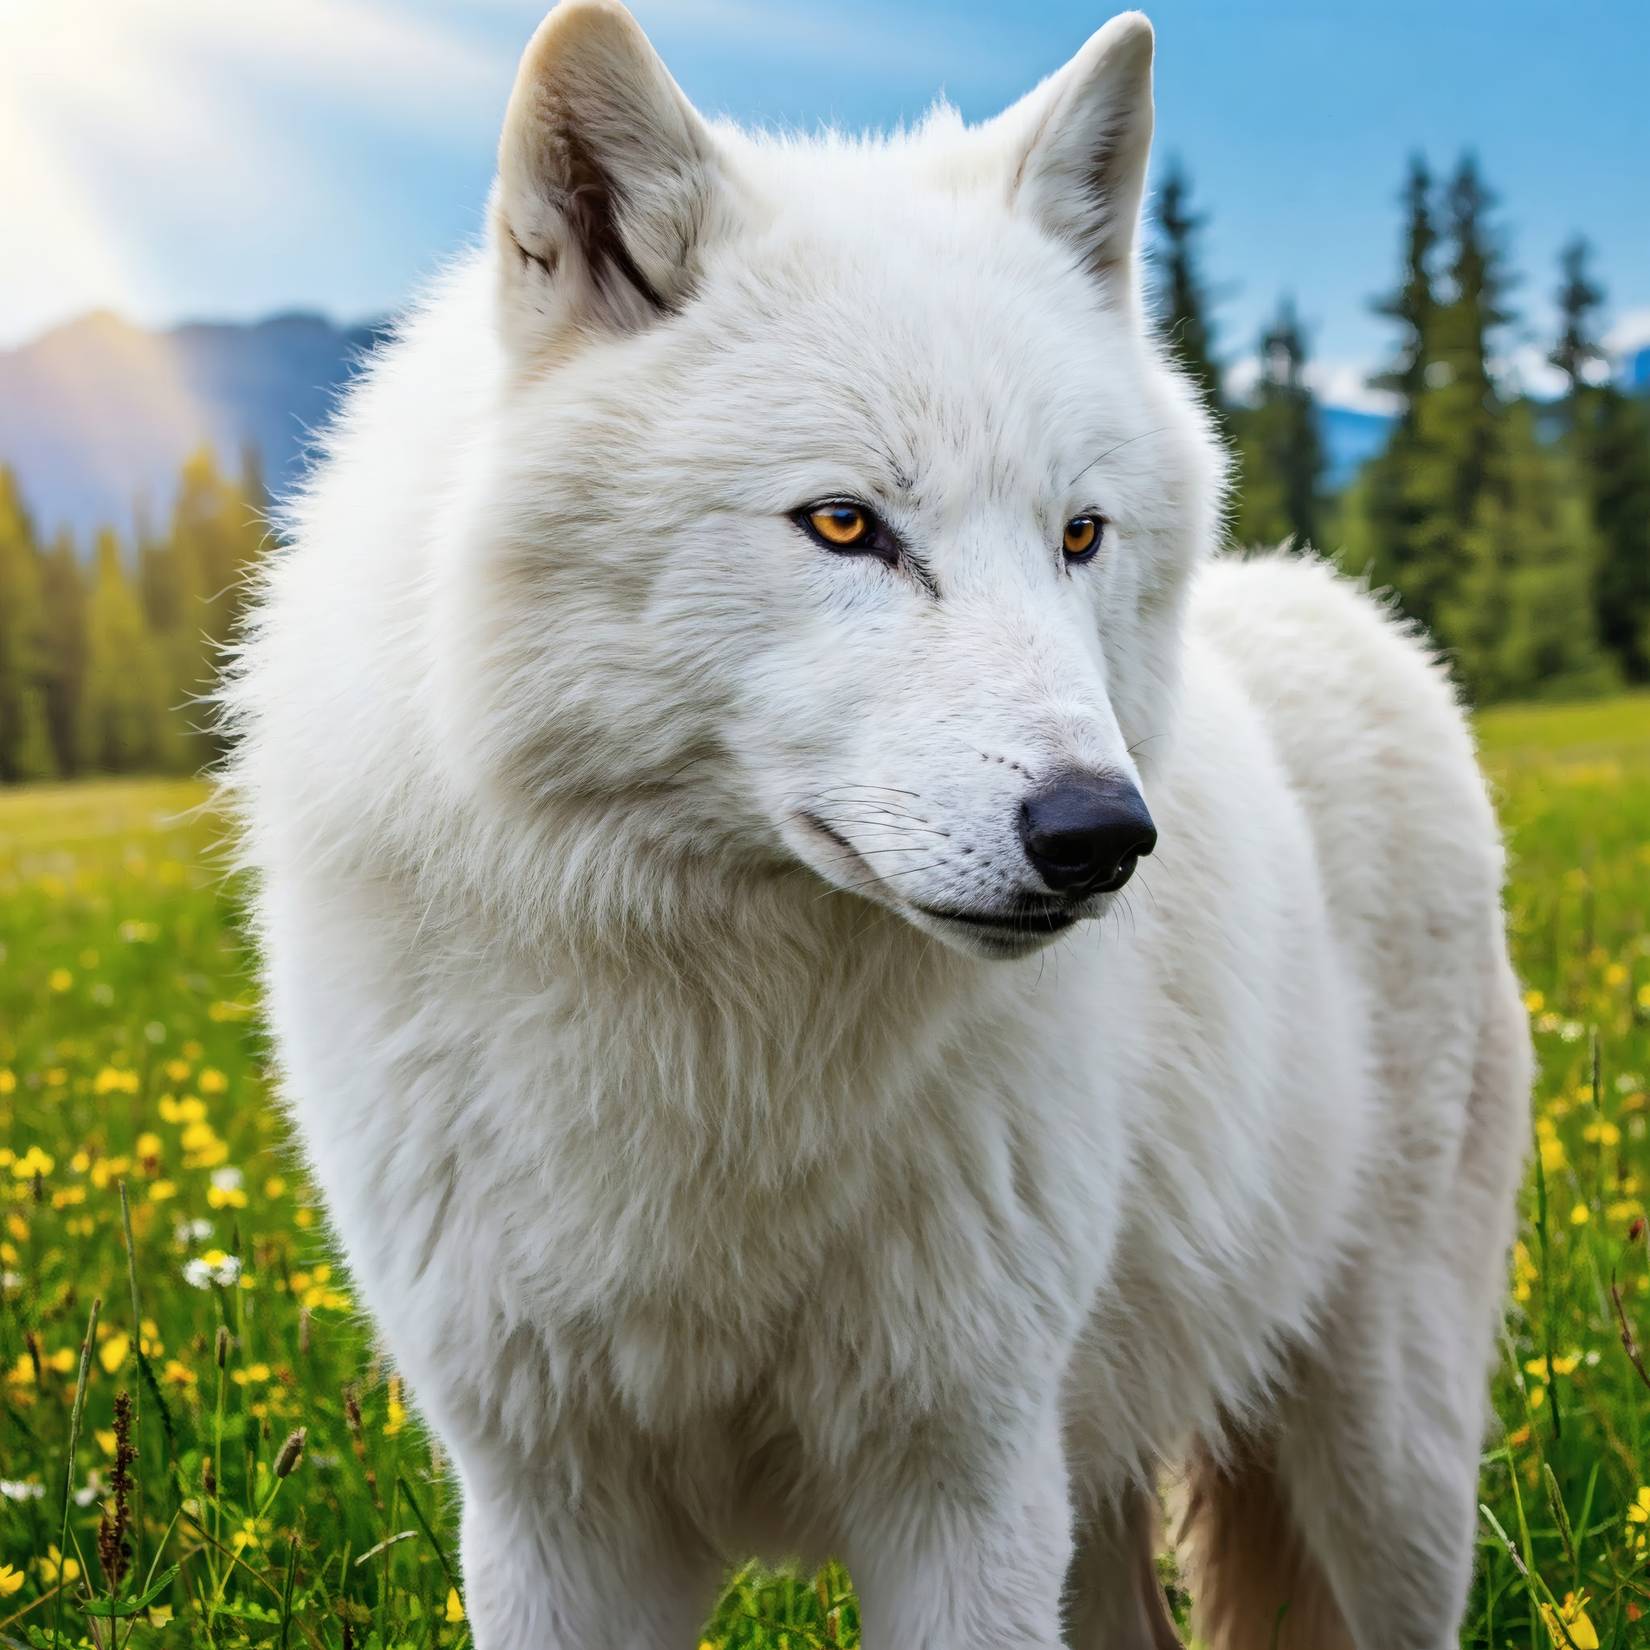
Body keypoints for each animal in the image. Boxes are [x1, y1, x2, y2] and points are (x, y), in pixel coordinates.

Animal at [223, 4, 1531, 1646]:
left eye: (1078, 534)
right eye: (845, 525)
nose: (1104, 835)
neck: (726, 1036)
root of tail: (1355, 617)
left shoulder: (963, 1489)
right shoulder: (553, 1512)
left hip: (1384, 1469)